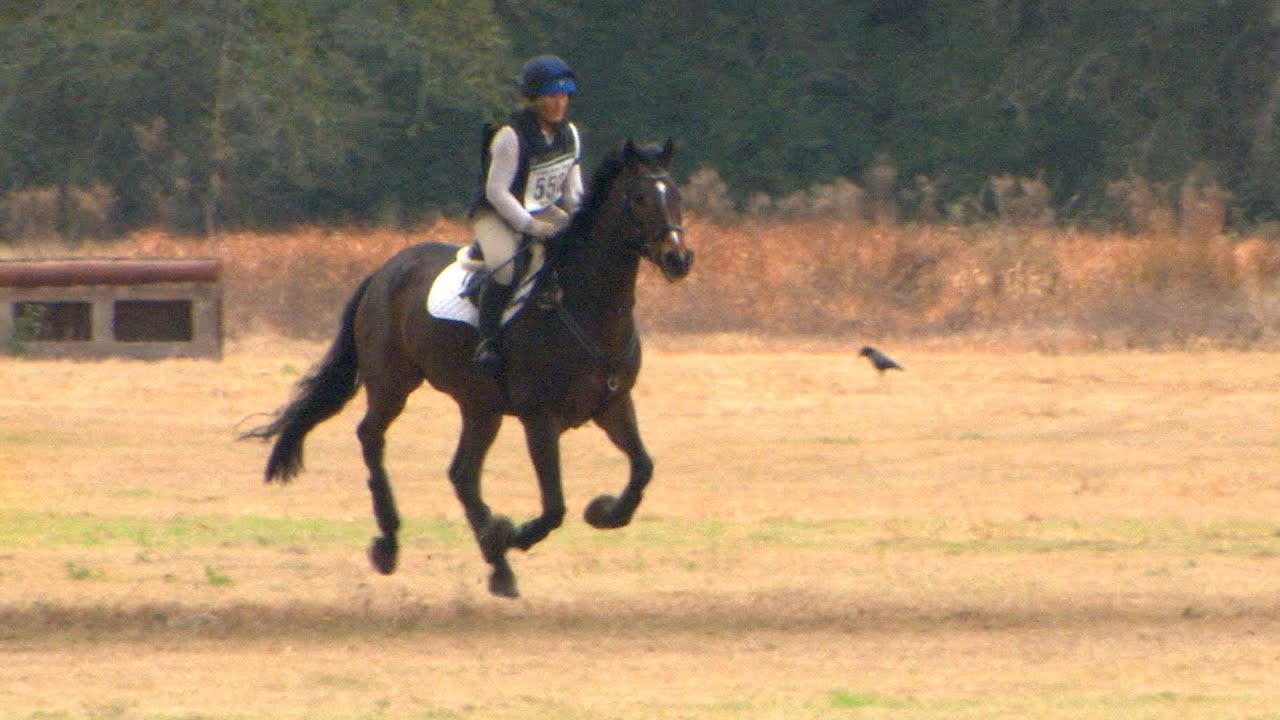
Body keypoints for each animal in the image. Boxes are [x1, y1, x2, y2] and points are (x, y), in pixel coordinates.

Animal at [242, 139, 693, 598]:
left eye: (675, 195)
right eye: (638, 199)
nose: (678, 258)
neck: (583, 305)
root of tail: (385, 271)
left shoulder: (613, 404)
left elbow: (642, 467)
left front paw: (603, 512)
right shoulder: (540, 418)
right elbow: (554, 506)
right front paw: (513, 534)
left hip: (481, 406)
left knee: (462, 473)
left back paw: (499, 568)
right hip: (392, 382)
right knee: (371, 437)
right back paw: (391, 542)